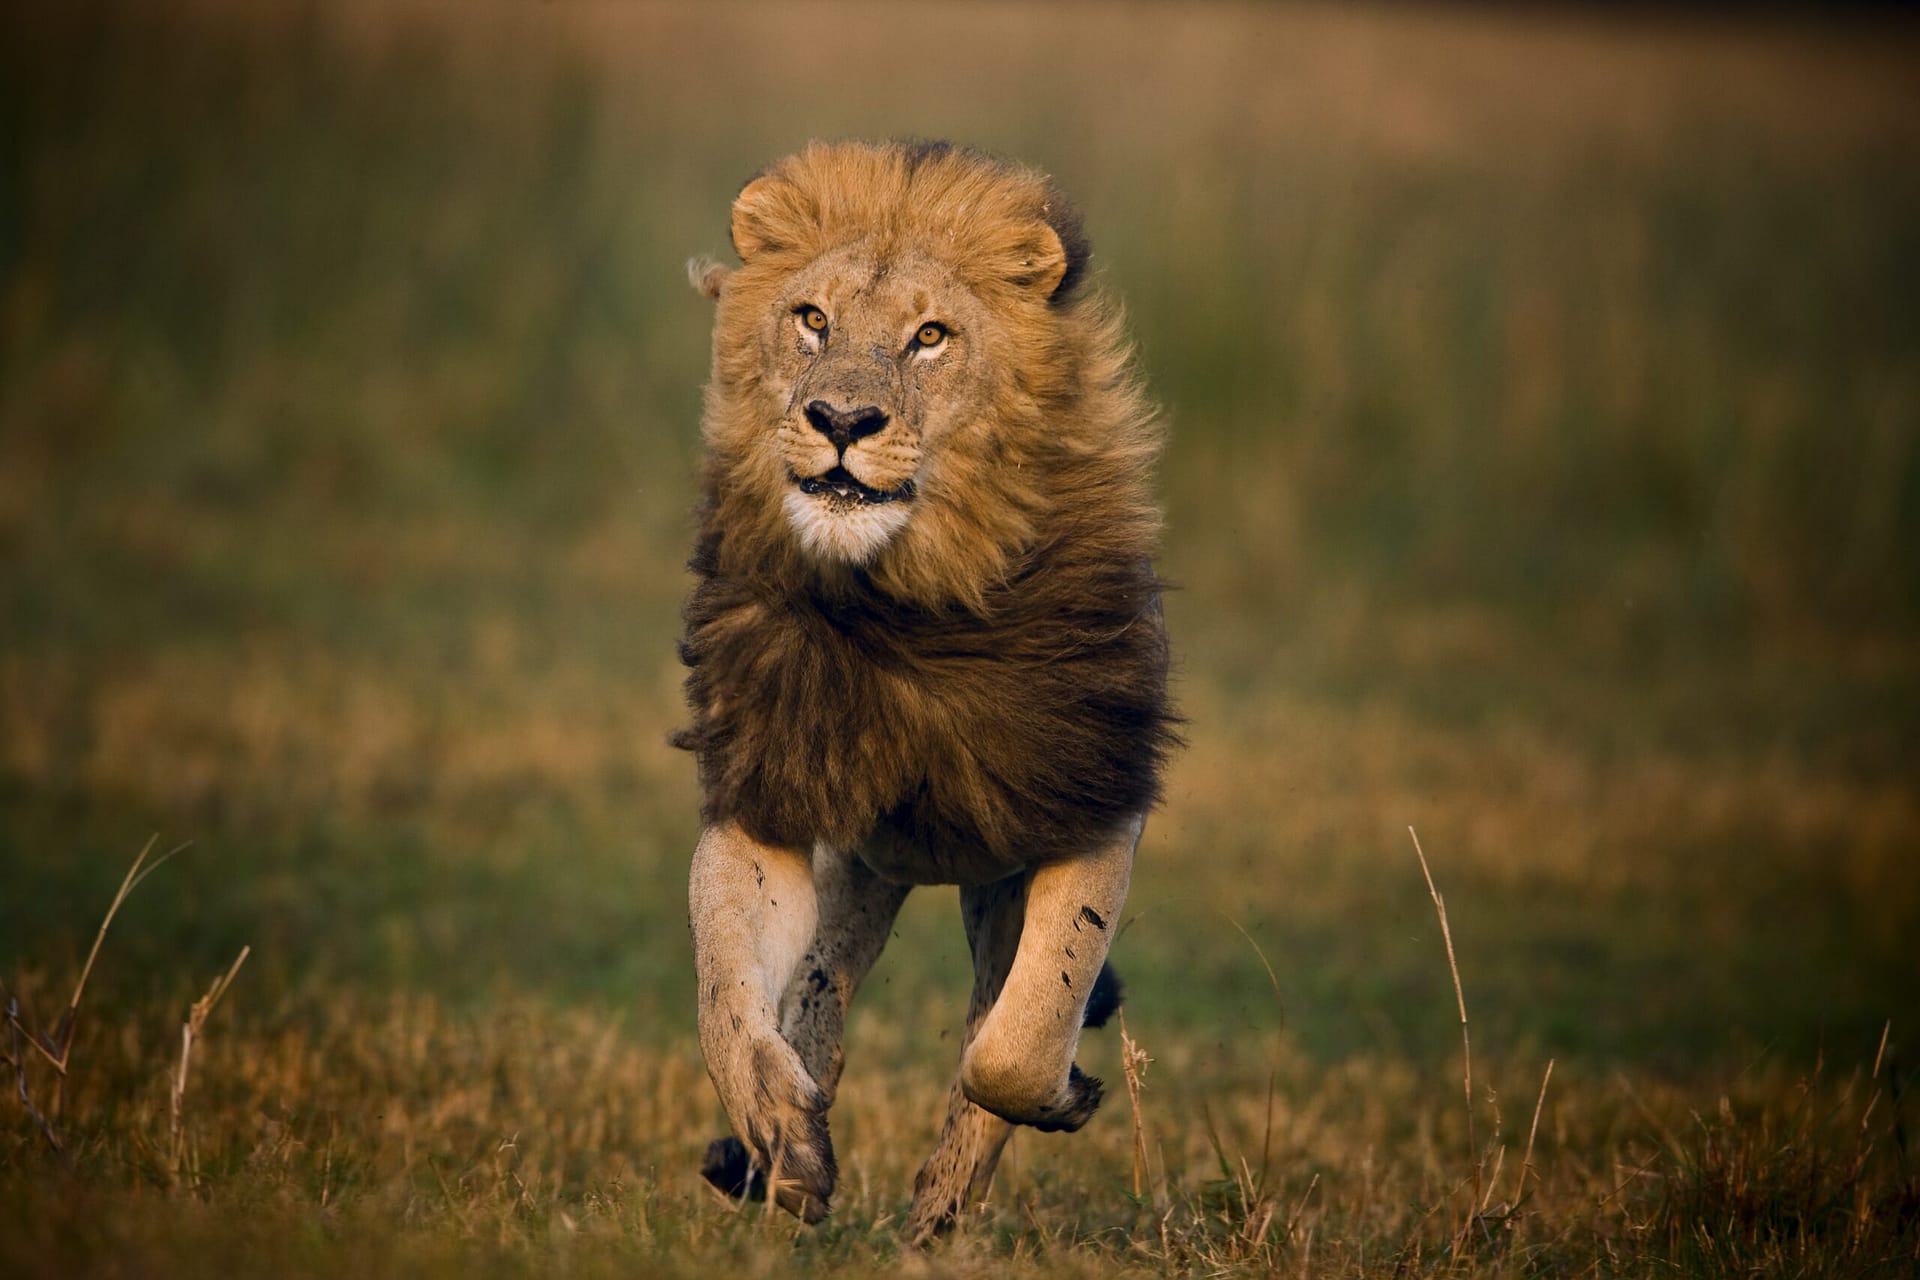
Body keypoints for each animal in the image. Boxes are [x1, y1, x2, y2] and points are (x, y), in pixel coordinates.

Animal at [673, 139, 1176, 1239]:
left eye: (930, 336)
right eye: (811, 319)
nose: (841, 420)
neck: (904, 597)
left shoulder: (1089, 795)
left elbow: (1017, 1042)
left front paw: (1065, 1090)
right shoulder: (771, 789)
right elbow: (724, 980)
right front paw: (777, 1128)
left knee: (994, 1020)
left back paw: (938, 1216)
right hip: (864, 866)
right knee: (821, 984)